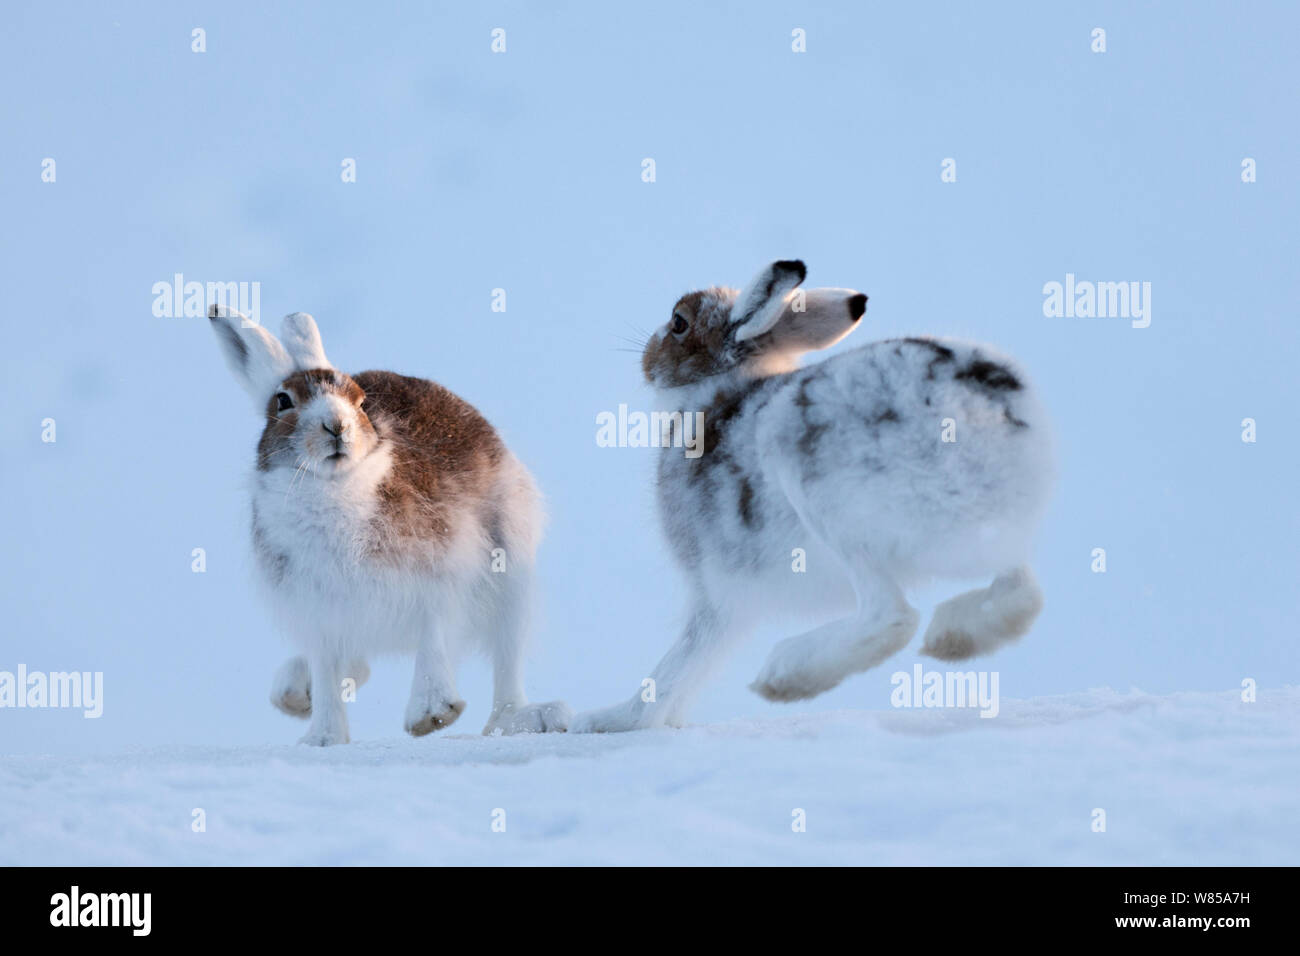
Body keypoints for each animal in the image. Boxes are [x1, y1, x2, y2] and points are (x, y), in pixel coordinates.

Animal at [207, 304, 571, 745]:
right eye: (283, 401)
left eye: (361, 402)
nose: (337, 426)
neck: (332, 490)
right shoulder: (318, 613)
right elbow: (327, 673)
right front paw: (323, 739)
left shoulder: (440, 569)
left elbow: (433, 633)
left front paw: (431, 714)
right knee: (353, 664)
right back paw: (294, 692)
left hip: (512, 565)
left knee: (506, 662)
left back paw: (525, 718)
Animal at [572, 260, 1053, 733]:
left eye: (678, 322)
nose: (646, 358)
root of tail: (986, 411)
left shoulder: (718, 589)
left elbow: (680, 662)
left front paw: (609, 721)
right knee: (1021, 592)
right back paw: (953, 634)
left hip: (815, 485)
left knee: (892, 615)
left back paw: (784, 674)